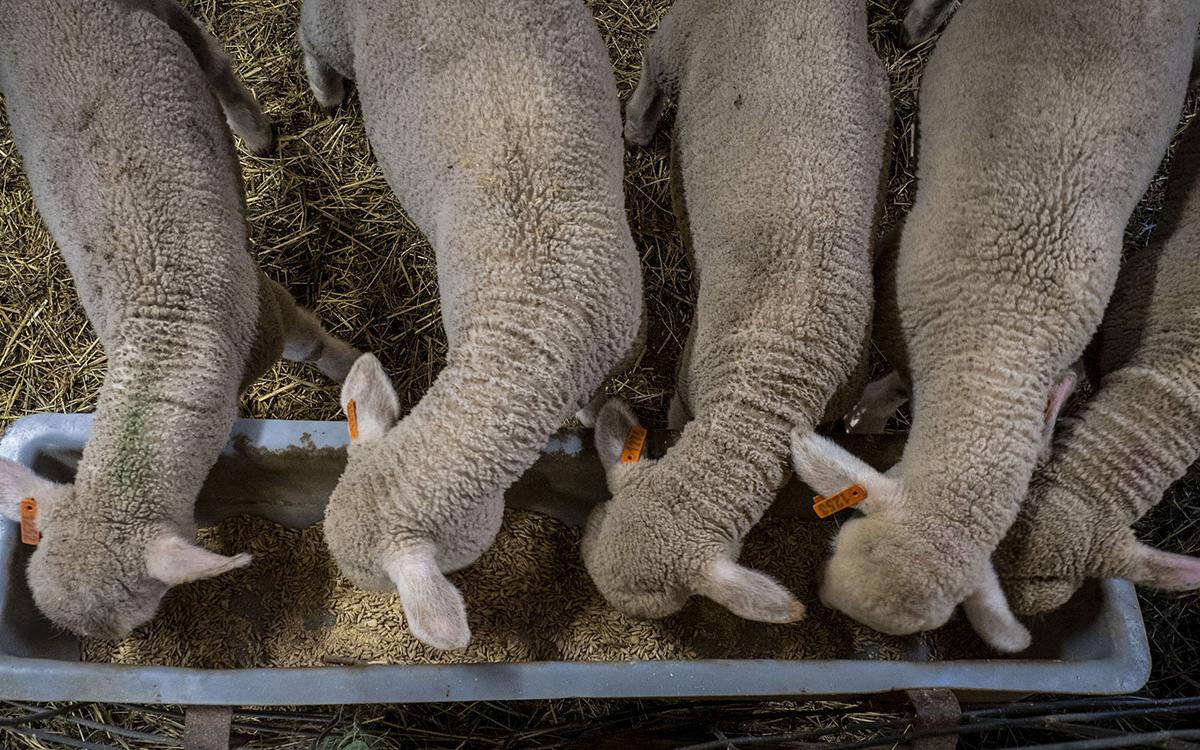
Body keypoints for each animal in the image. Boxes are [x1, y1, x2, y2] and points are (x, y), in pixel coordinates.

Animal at [0, 0, 358, 639]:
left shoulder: (267, 307)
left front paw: (359, 370)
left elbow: (316, 350)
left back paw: (254, 132)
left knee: (210, 56)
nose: (126, 644)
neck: (167, 338)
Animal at [300, 0, 643, 650]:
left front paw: (593, 414)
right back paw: (325, 88)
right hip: (335, 25)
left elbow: (598, 394)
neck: (533, 326)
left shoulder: (613, 340)